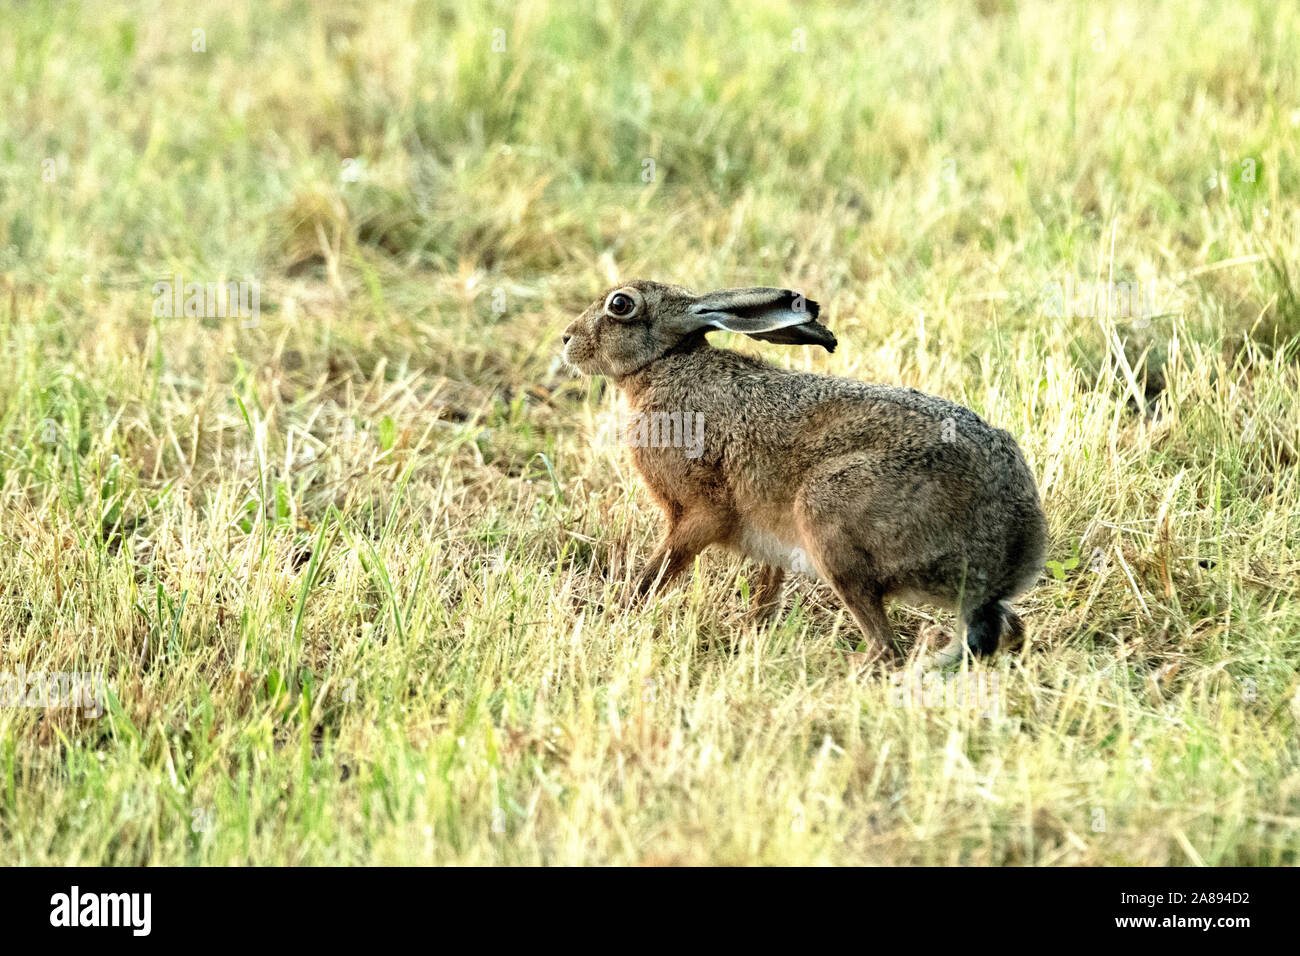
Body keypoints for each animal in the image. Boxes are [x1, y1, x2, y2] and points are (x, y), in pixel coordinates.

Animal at [561, 281, 1047, 665]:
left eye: (620, 304)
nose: (566, 339)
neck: (663, 366)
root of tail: (1012, 545)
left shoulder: (701, 511)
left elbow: (661, 567)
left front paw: (617, 610)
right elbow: (766, 585)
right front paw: (752, 633)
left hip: (829, 515)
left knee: (887, 647)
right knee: (1008, 630)